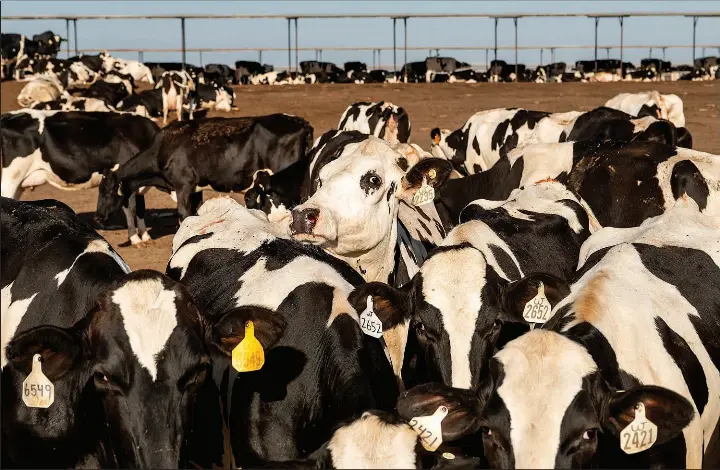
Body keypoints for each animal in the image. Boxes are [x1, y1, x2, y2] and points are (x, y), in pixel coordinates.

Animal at [0, 110, 160, 245]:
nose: (98, 218)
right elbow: (130, 209)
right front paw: (135, 239)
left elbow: (140, 208)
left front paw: (145, 236)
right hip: (10, 180)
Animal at [95, 114, 314, 222]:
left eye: (106, 191)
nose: (97, 217)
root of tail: (301, 122)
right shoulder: (195, 189)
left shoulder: (183, 186)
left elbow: (183, 216)